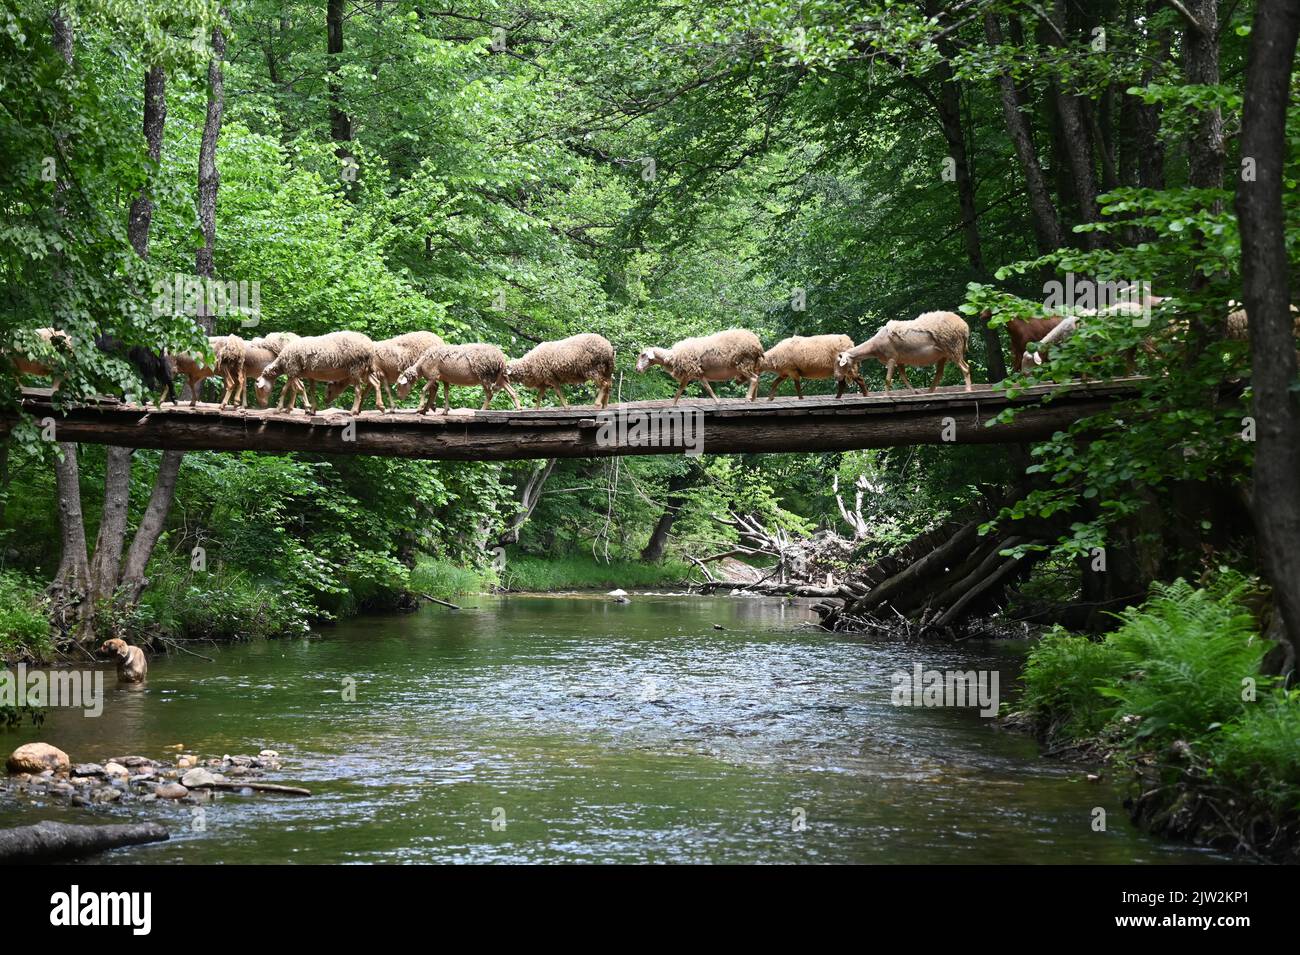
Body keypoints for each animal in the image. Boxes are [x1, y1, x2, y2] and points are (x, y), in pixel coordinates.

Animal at [255, 331, 386, 414]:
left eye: (259, 389)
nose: (262, 405)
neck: (281, 363)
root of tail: (370, 347)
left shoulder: (292, 370)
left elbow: (285, 389)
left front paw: (278, 408)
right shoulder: (308, 375)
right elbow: (311, 390)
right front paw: (313, 409)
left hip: (356, 368)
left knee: (358, 390)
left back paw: (353, 411)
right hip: (366, 369)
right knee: (376, 383)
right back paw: (381, 406)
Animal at [635, 329, 764, 405]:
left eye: (643, 355)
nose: (636, 369)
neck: (673, 356)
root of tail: (757, 343)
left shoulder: (692, 371)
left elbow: (706, 388)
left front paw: (717, 402)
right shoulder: (695, 373)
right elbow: (681, 391)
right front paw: (673, 404)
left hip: (744, 363)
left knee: (754, 379)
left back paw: (747, 398)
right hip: (750, 364)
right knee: (757, 378)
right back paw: (754, 399)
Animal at [837, 311, 972, 392]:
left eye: (840, 364)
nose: (837, 377)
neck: (874, 347)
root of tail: (964, 327)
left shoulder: (891, 357)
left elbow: (888, 379)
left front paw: (885, 396)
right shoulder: (899, 360)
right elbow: (903, 377)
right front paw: (914, 392)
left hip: (953, 348)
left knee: (965, 368)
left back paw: (968, 390)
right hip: (943, 354)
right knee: (939, 374)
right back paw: (929, 392)